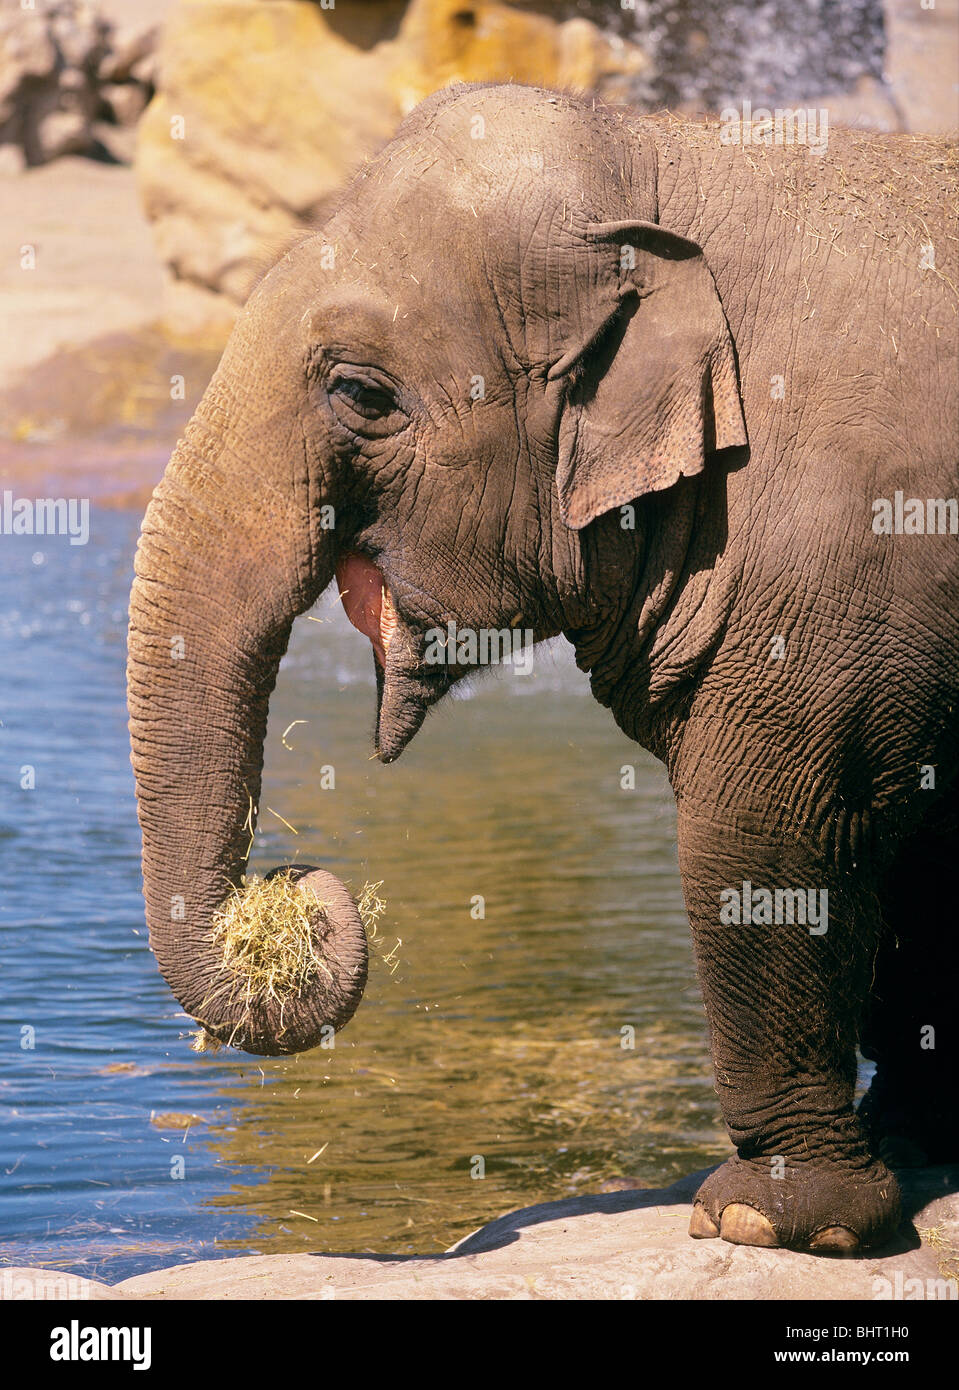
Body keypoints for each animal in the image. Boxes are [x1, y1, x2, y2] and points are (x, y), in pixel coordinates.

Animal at [127, 83, 958, 1254]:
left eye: (361, 395)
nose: (300, 886)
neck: (664, 154)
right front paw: (914, 1151)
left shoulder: (848, 550)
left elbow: (764, 829)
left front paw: (770, 1222)